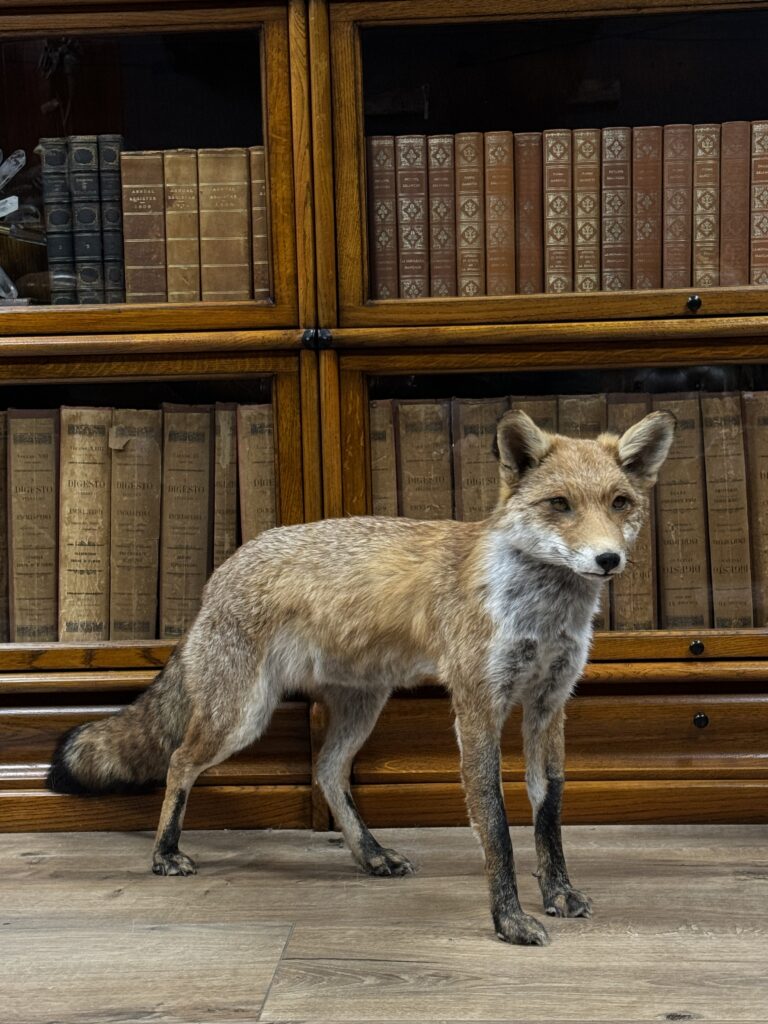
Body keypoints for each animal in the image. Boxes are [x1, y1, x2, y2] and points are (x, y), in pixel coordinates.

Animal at [47, 408, 675, 946]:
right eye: (560, 504)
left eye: (619, 503)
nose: (608, 560)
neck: (540, 613)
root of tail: (222, 572)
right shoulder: (477, 706)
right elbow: (496, 825)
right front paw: (510, 921)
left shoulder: (549, 704)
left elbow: (549, 814)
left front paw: (559, 893)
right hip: (242, 716)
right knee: (179, 760)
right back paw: (164, 854)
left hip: (362, 706)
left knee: (325, 771)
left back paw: (370, 854)